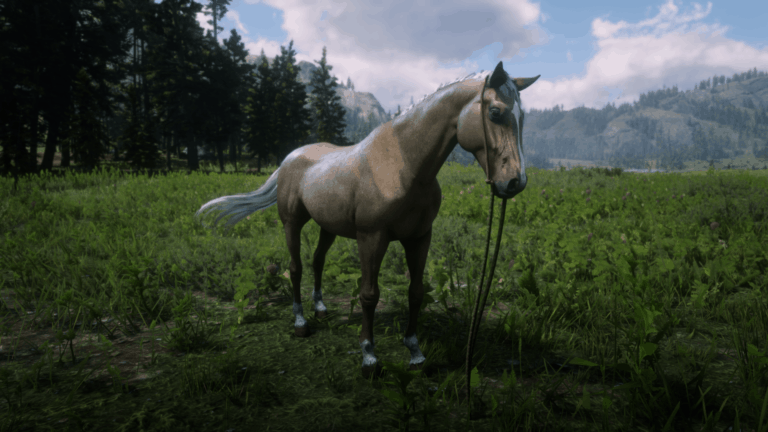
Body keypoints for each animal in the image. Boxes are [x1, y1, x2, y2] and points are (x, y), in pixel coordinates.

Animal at [196, 61, 539, 379]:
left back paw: (321, 309)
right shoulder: (371, 238)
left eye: (522, 118)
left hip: (328, 227)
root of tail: (290, 158)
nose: (515, 182)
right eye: (494, 112)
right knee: (295, 268)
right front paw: (369, 357)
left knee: (318, 260)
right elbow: (369, 295)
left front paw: (415, 352)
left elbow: (416, 292)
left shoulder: (419, 238)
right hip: (292, 223)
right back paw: (301, 322)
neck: (405, 166)